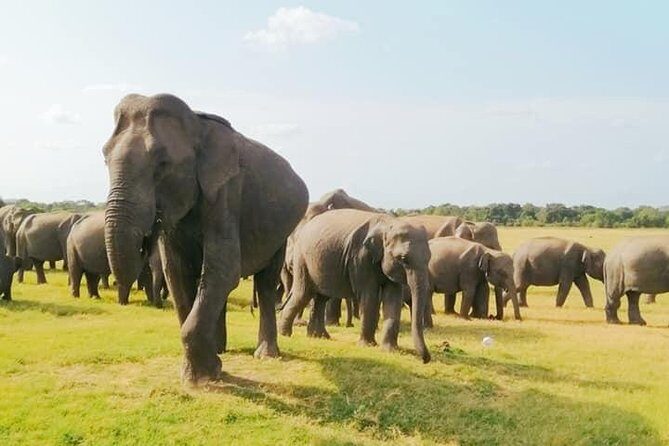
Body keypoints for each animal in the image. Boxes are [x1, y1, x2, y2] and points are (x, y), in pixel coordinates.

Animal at [102, 93, 308, 384]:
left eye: (162, 164)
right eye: (104, 158)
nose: (145, 240)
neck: (197, 125)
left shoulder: (227, 191)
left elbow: (225, 269)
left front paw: (205, 376)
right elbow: (177, 273)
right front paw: (207, 368)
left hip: (282, 232)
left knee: (266, 283)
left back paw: (265, 354)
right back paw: (222, 347)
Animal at [278, 209, 432, 363]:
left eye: (429, 258)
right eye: (403, 259)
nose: (425, 359)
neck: (389, 224)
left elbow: (393, 298)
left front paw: (390, 350)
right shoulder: (360, 258)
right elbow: (369, 296)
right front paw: (368, 346)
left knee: (321, 298)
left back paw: (319, 336)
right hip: (302, 260)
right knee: (303, 293)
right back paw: (285, 334)